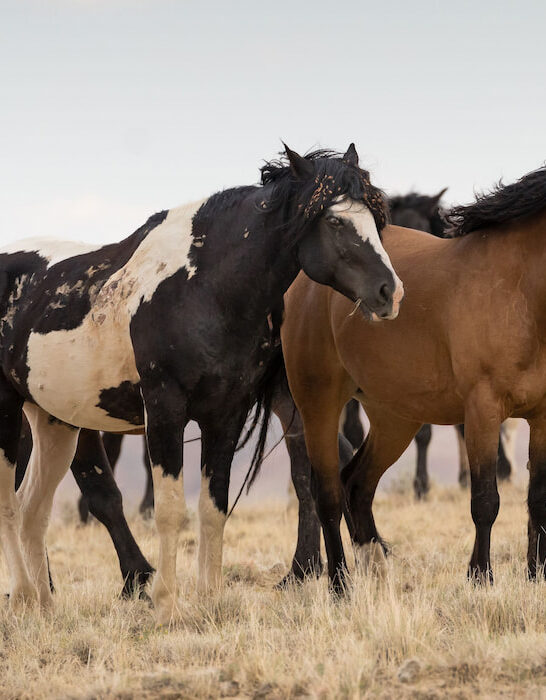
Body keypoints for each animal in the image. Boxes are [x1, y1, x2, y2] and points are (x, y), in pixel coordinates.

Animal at [0, 144, 403, 624]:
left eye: (376, 219)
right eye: (335, 220)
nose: (390, 291)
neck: (203, 291)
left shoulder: (225, 416)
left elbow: (214, 509)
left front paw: (209, 599)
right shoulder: (166, 412)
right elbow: (170, 510)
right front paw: (166, 603)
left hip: (54, 422)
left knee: (32, 509)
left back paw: (42, 606)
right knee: (10, 505)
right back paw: (22, 596)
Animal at [281, 165, 546, 592]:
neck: (518, 289)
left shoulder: (541, 416)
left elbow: (537, 497)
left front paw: (536, 575)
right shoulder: (483, 410)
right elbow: (485, 500)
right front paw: (479, 577)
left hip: (394, 419)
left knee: (357, 485)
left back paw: (376, 569)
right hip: (318, 404)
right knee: (328, 494)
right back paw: (340, 586)